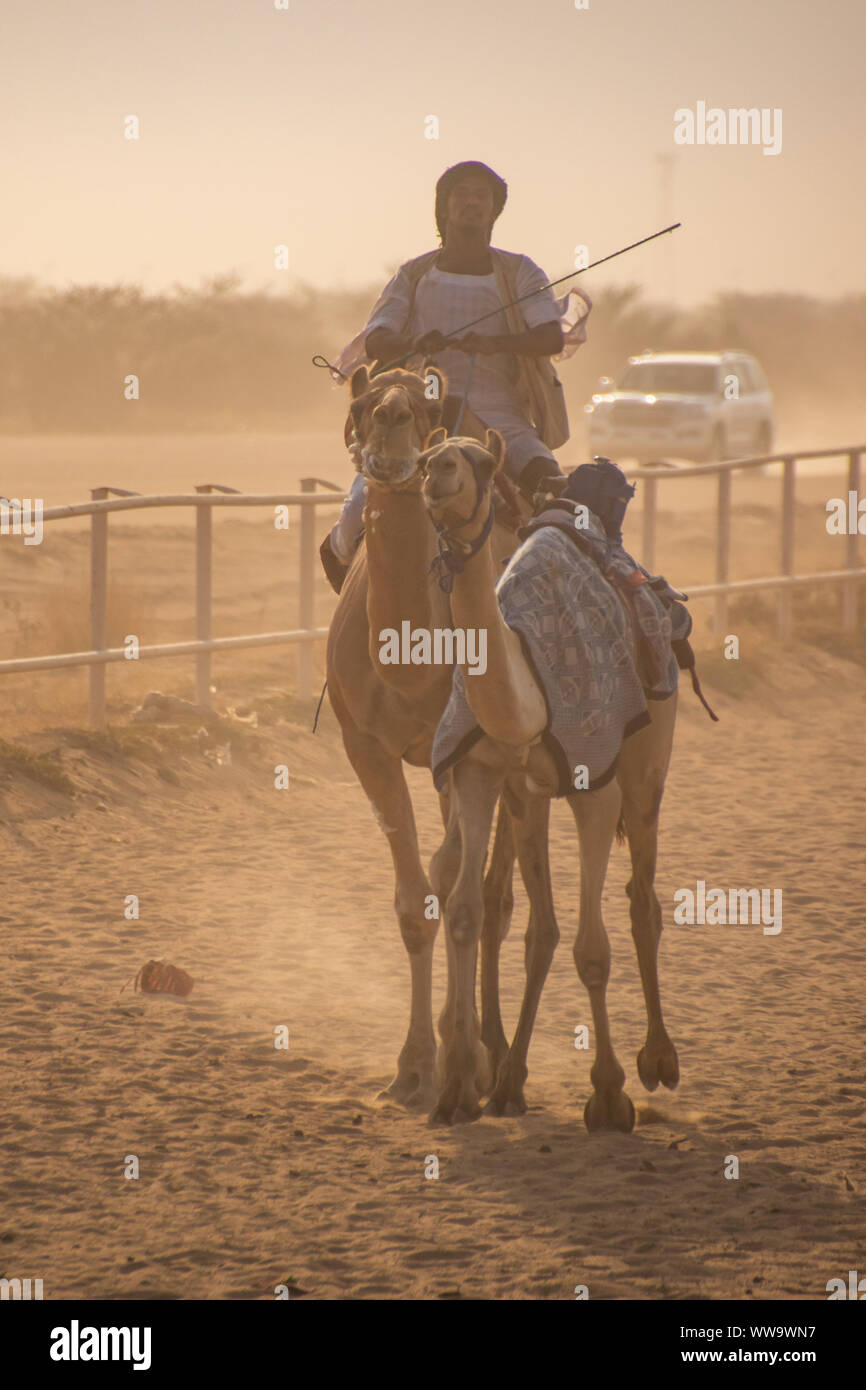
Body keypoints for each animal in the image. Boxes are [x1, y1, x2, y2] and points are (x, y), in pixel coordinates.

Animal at [325, 366, 523, 1111]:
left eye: (426, 404)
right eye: (360, 404)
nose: (390, 422)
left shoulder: (469, 755)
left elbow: (457, 888)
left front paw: (458, 1062)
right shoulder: (365, 748)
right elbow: (417, 903)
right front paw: (414, 1069)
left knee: (496, 896)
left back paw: (496, 1059)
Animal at [419, 426, 680, 1130]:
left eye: (481, 462)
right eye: (426, 458)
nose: (437, 471)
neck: (528, 694)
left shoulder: (597, 786)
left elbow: (593, 950)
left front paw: (610, 1096)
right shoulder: (479, 773)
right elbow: (464, 910)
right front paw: (456, 1091)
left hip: (648, 765)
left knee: (642, 901)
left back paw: (659, 1060)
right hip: (526, 797)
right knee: (538, 928)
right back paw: (508, 1083)